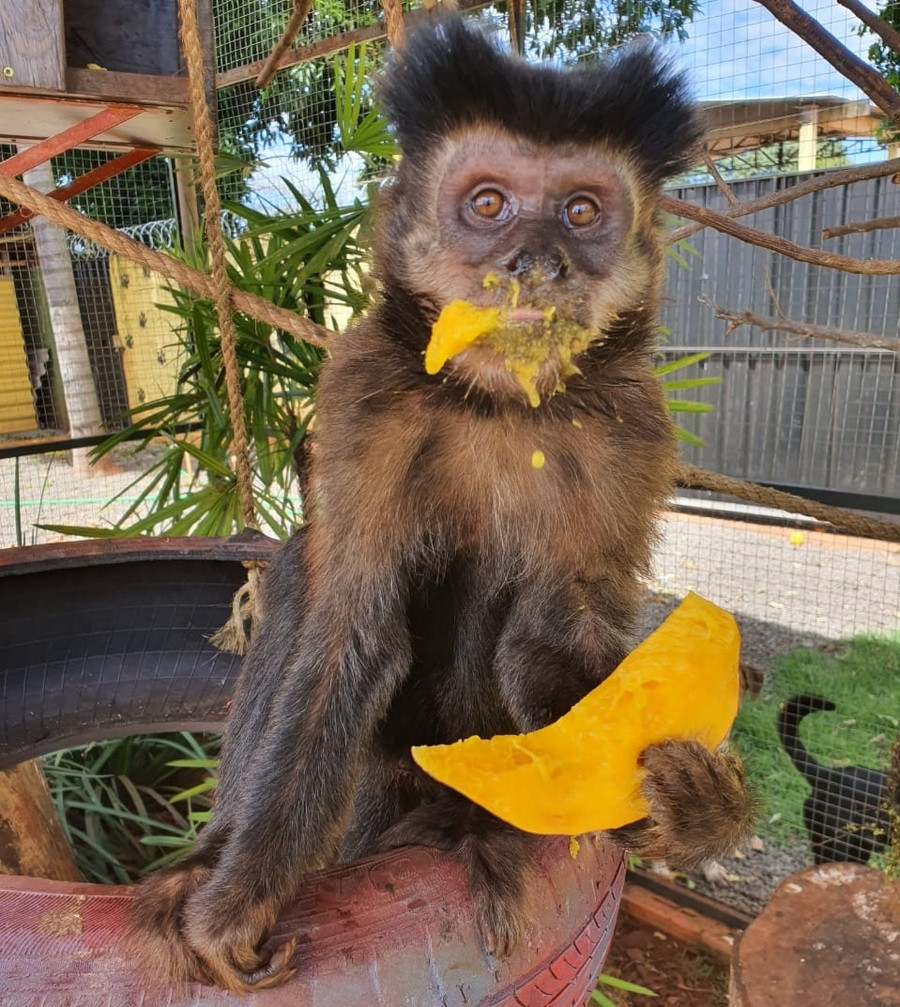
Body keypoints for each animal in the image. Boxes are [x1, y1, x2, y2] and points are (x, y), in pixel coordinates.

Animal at [128, 17, 755, 993]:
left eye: (582, 211)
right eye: (490, 204)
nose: (536, 262)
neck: (497, 403)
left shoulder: (633, 426)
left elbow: (558, 637)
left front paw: (690, 815)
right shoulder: (364, 395)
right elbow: (349, 629)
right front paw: (241, 893)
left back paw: (477, 826)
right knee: (305, 572)